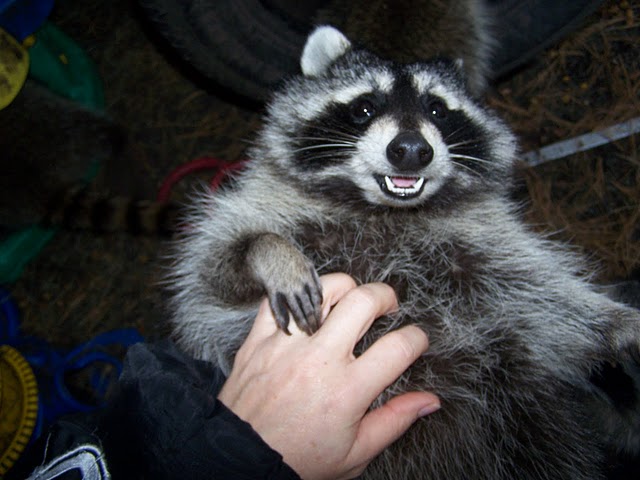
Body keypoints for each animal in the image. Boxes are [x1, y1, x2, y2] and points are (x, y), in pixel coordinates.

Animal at [167, 26, 640, 479]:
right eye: (364, 108)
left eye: (437, 109)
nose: (411, 150)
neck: (386, 212)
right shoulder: (256, 227)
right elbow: (210, 277)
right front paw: (270, 253)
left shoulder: (485, 253)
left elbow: (545, 297)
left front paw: (615, 321)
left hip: (521, 415)